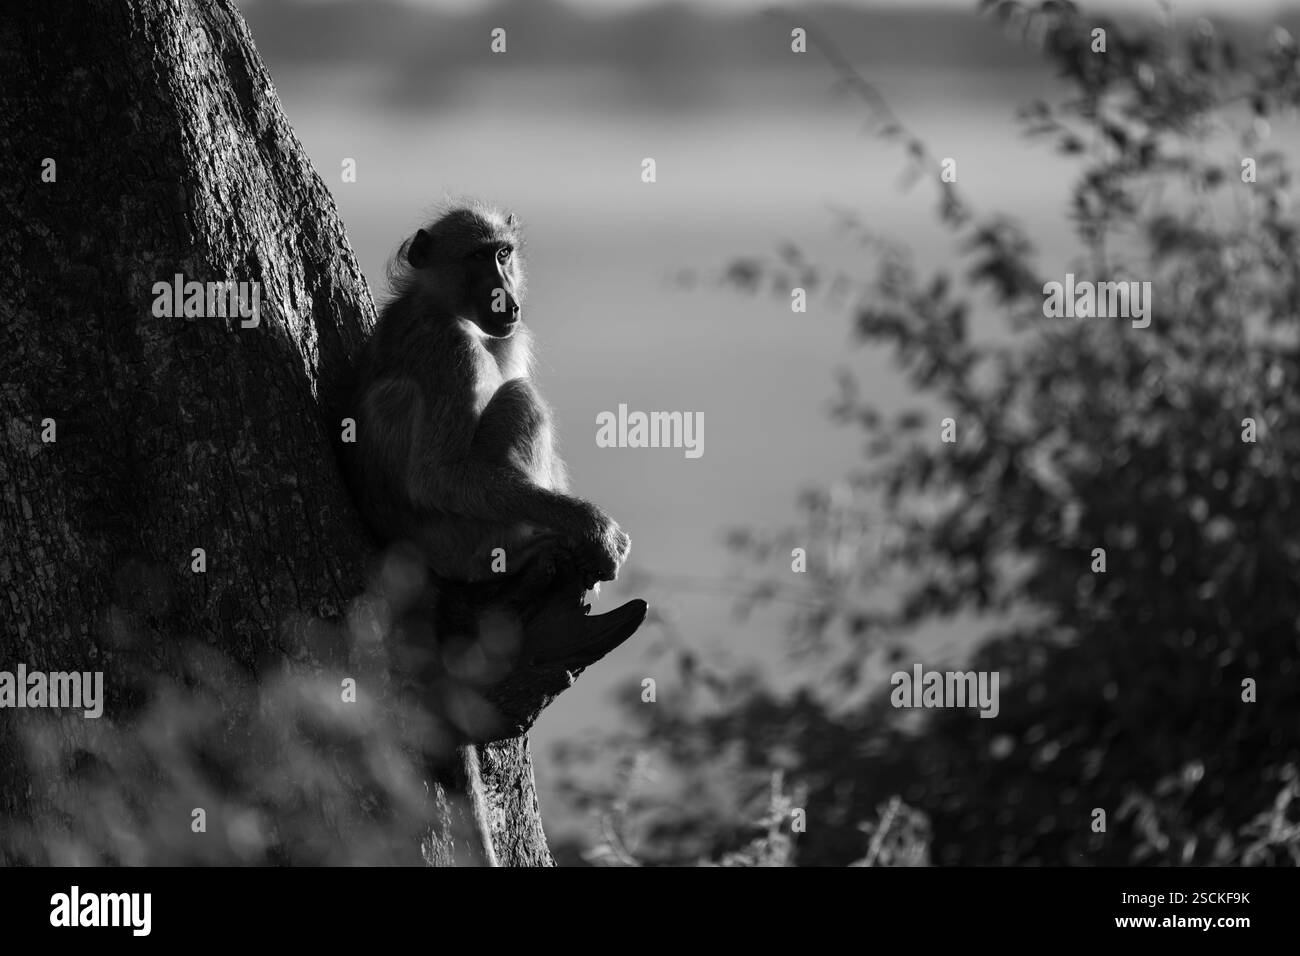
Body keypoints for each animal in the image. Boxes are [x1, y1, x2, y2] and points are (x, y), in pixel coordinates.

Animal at [344, 199, 631, 595]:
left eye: (503, 254)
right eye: (477, 257)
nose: (506, 301)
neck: (443, 307)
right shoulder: (453, 354)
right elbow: (437, 478)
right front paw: (593, 529)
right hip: (468, 546)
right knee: (520, 397)